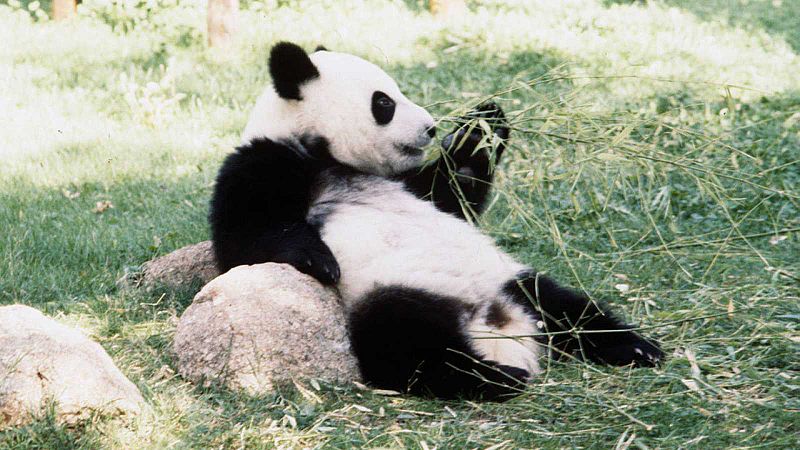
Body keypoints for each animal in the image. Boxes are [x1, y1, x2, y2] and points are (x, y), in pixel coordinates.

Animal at [209, 42, 664, 400]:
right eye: (384, 103)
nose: (430, 128)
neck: (331, 159)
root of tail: (493, 322)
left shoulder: (411, 184)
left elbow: (453, 192)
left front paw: (481, 127)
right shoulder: (266, 160)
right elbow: (242, 238)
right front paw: (316, 257)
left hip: (509, 279)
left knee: (566, 307)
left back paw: (635, 347)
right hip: (391, 292)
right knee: (409, 343)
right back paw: (497, 377)